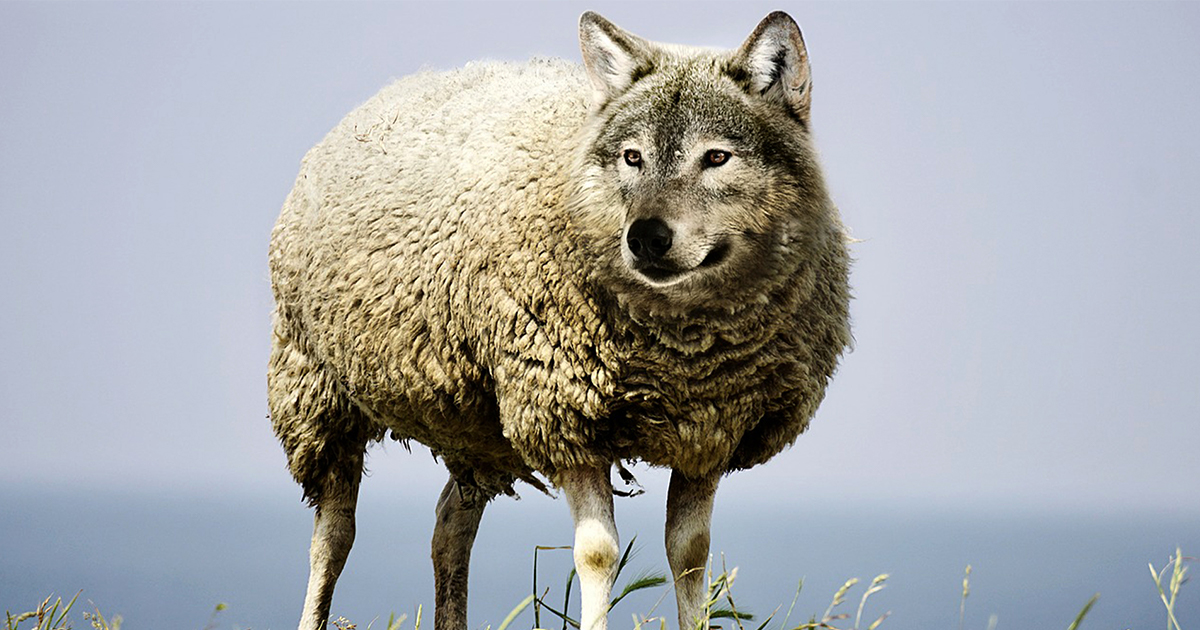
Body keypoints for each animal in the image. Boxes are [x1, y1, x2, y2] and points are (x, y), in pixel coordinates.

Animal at [268, 10, 851, 630]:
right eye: (632, 157)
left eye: (717, 157)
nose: (645, 238)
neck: (684, 352)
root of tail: (395, 89)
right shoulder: (564, 417)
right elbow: (598, 555)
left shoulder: (710, 433)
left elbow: (691, 555)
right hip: (314, 389)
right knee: (333, 534)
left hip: (476, 427)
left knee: (450, 525)